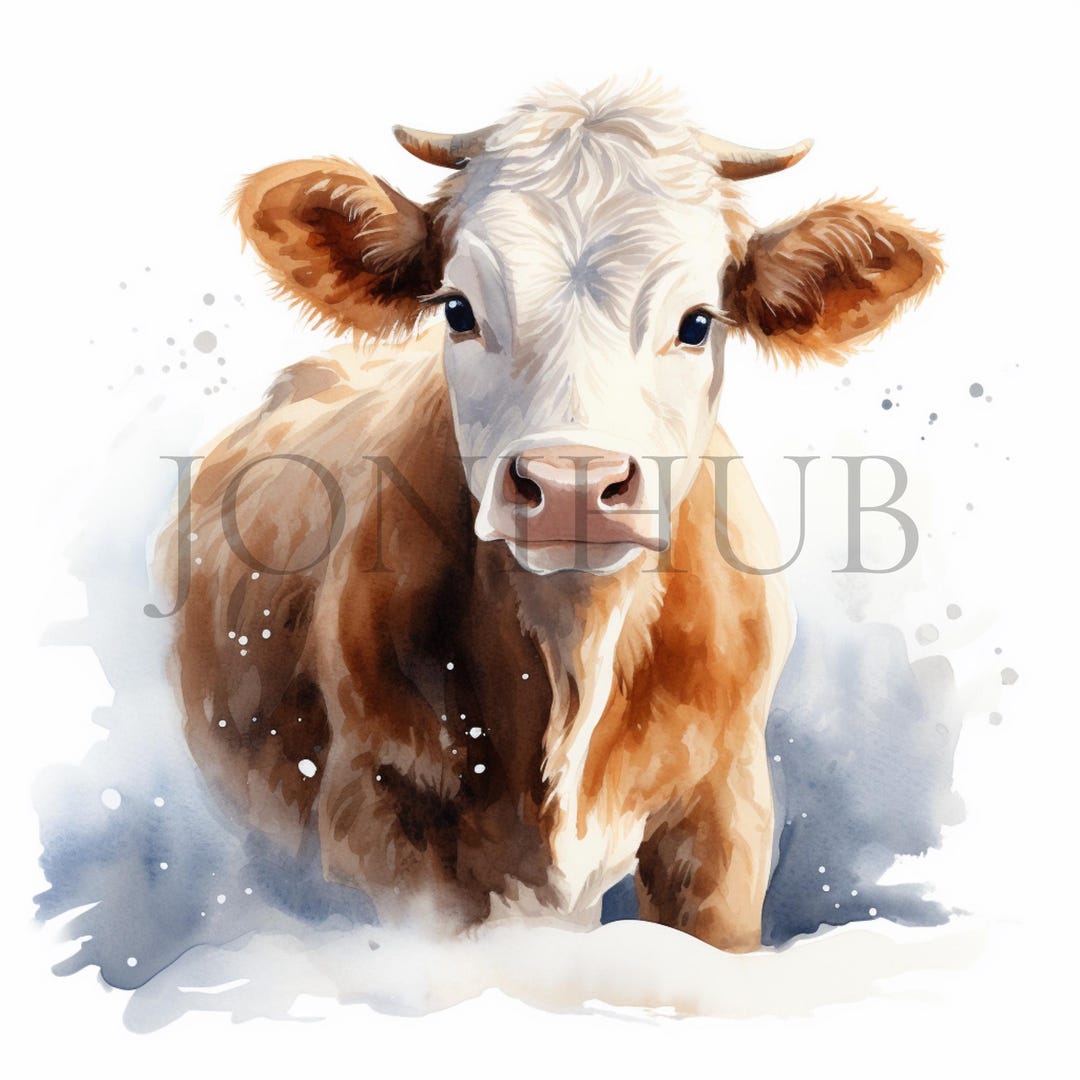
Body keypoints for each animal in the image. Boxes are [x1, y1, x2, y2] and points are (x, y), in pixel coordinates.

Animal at [160, 80, 941, 952]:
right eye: (457, 309)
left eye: (698, 322)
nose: (573, 485)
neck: (575, 648)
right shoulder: (376, 814)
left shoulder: (726, 810)